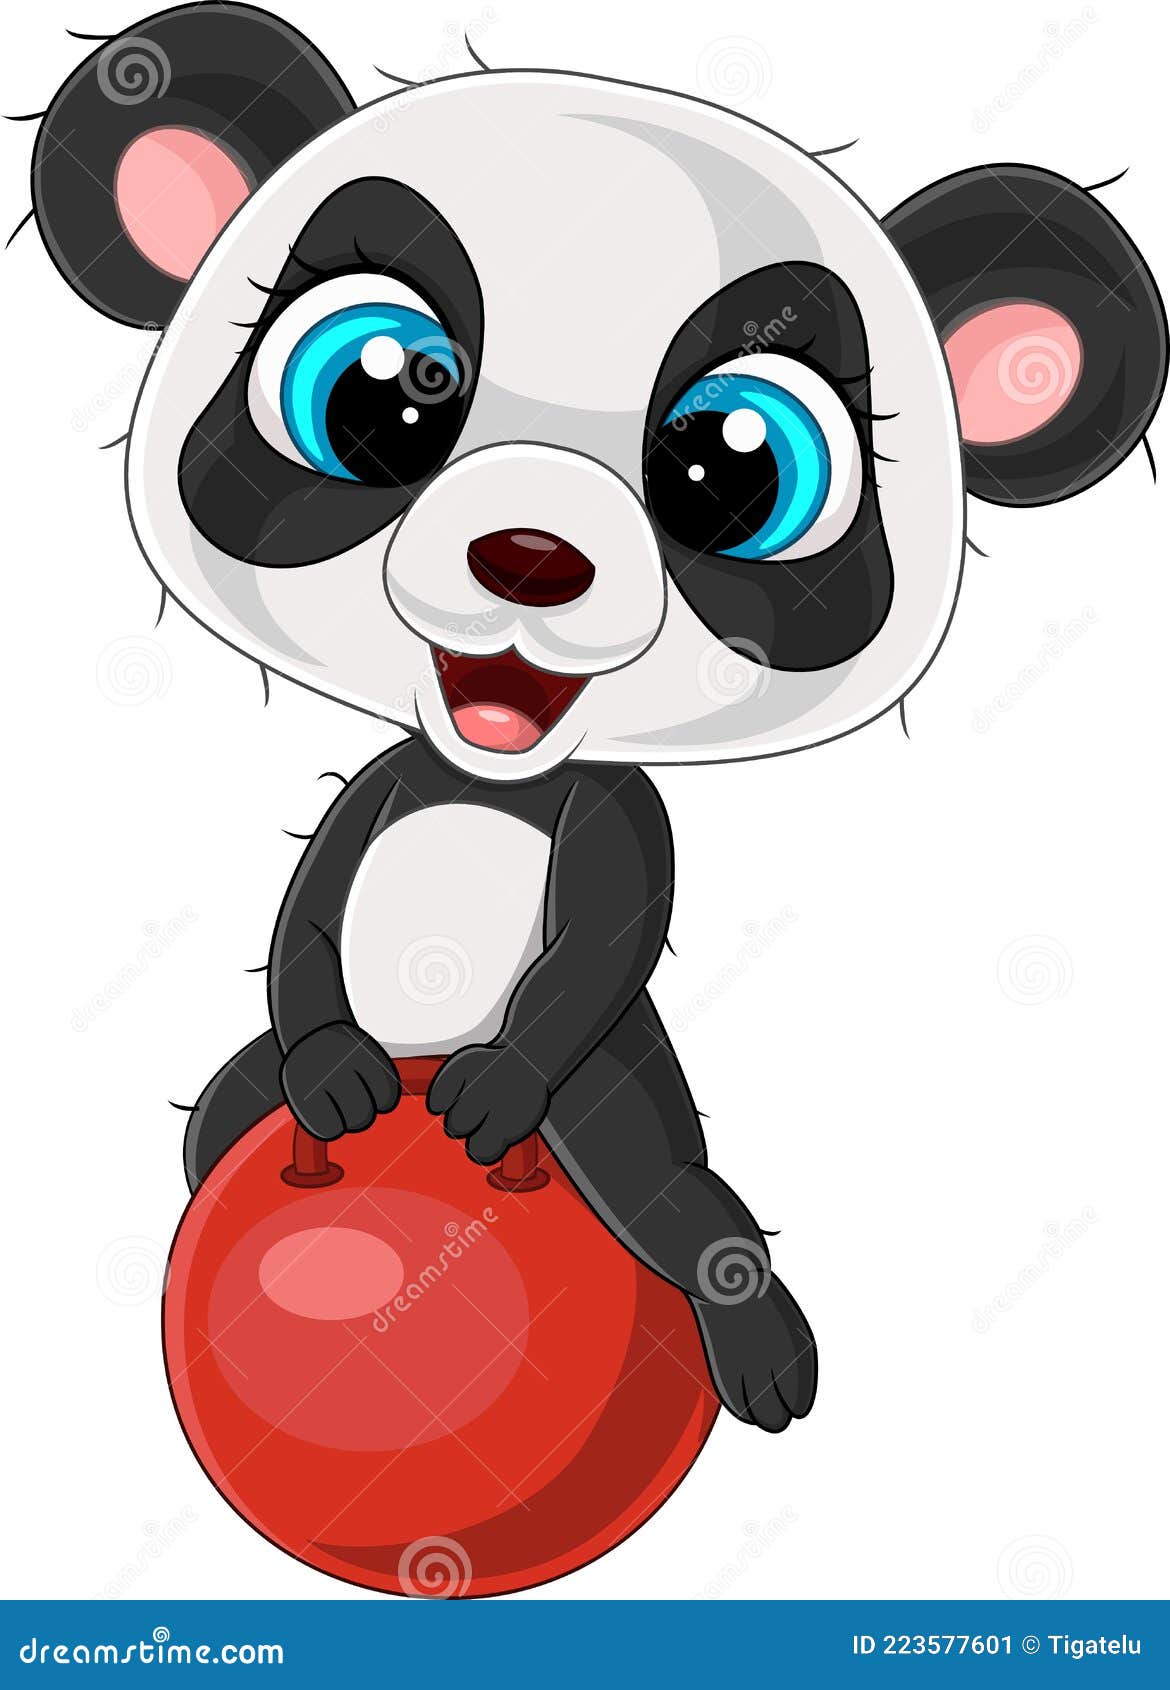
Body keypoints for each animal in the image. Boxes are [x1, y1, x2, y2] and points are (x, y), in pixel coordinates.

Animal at [24, 4, 1166, 1434]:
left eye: (737, 471)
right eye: (373, 394)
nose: (530, 554)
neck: (491, 774)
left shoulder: (617, 815)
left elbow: (604, 937)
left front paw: (505, 1082)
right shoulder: (384, 784)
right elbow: (310, 921)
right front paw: (333, 1063)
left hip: (624, 1096)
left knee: (662, 1190)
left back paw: (756, 1341)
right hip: (254, 1096)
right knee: (220, 1114)